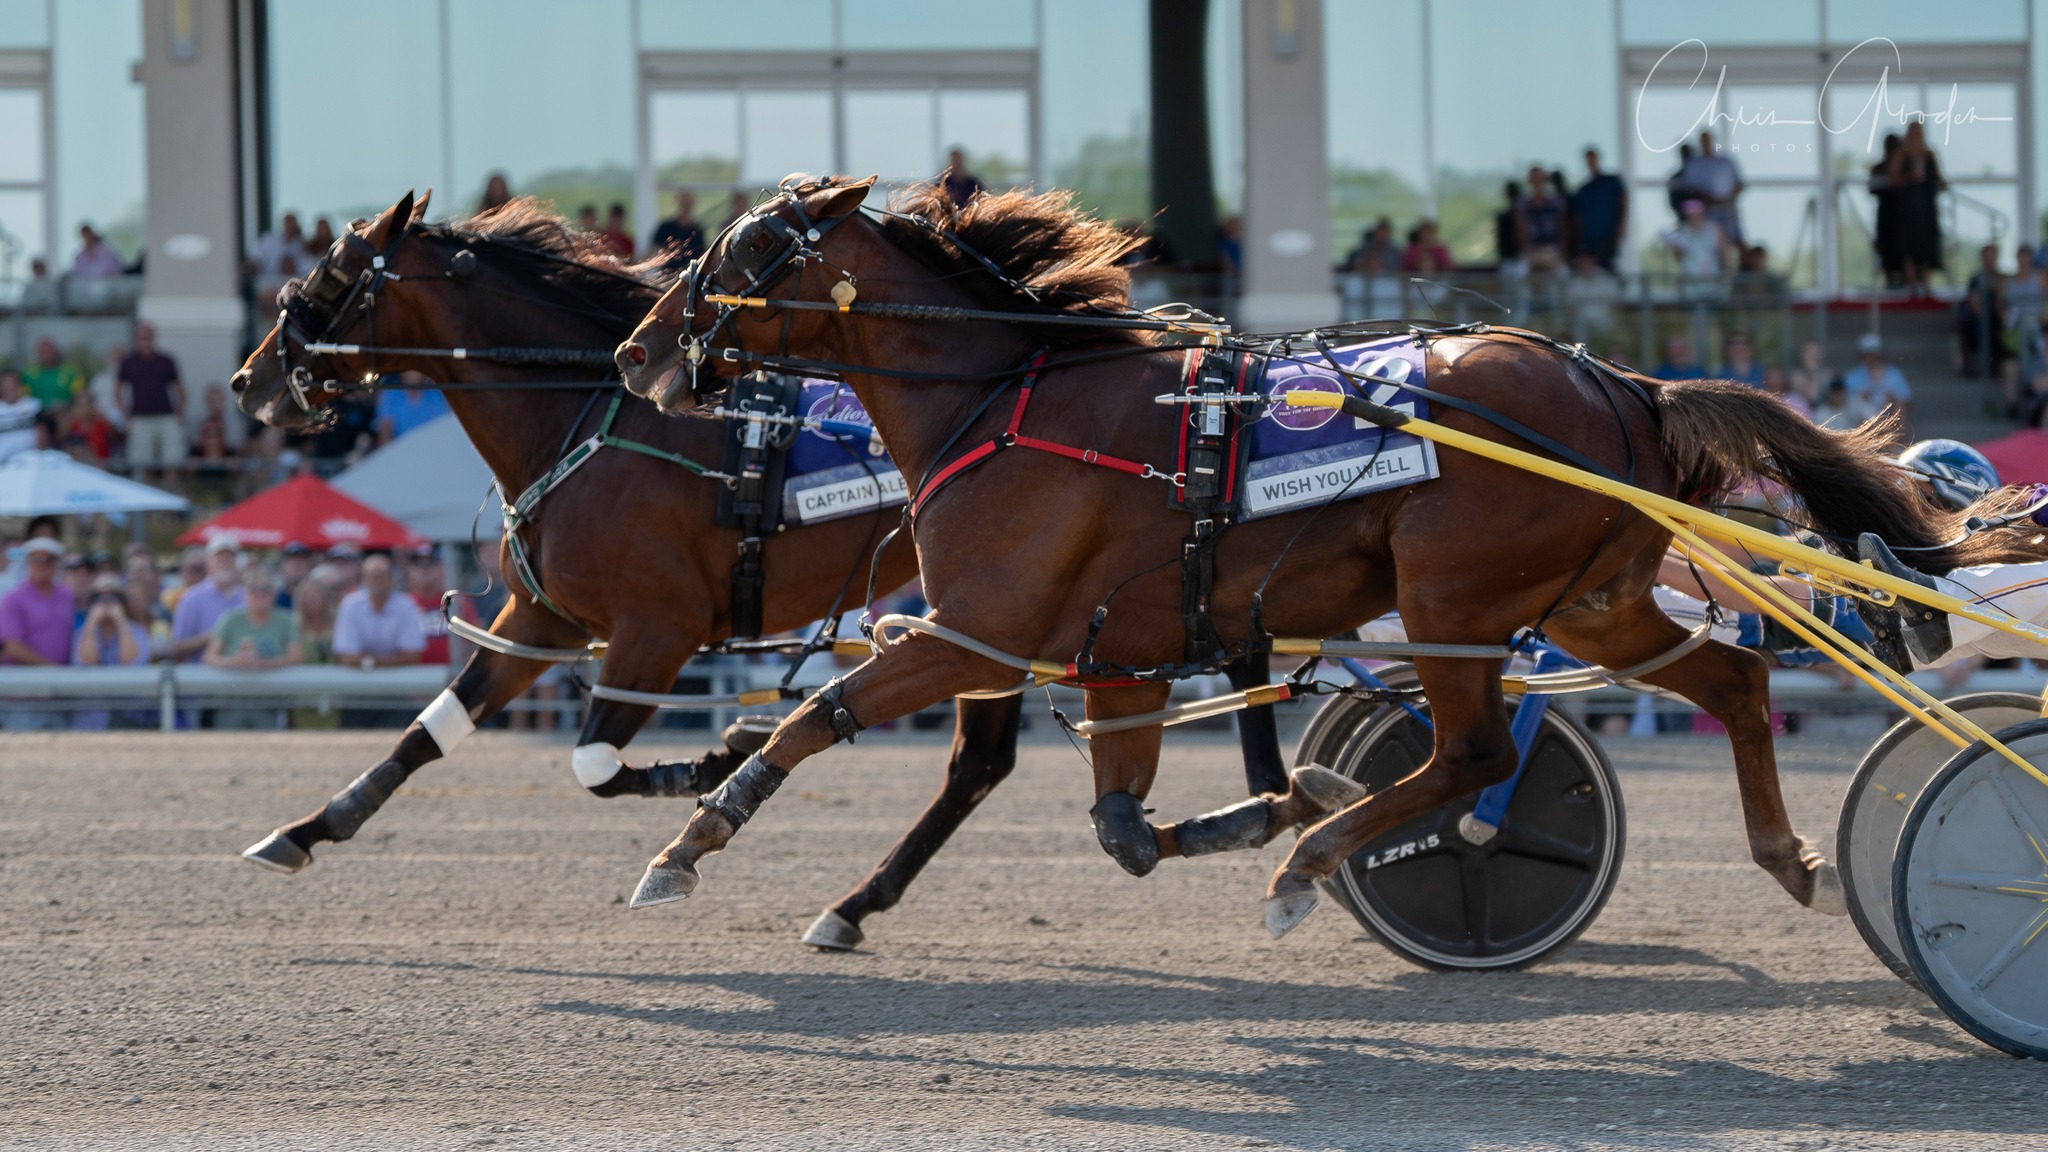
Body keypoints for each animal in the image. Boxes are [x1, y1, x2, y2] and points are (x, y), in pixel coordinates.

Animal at [226, 190, 1067, 950]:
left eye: (330, 277)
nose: (247, 381)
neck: (592, 422)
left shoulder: (659, 631)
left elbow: (594, 763)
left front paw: (721, 755)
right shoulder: (542, 620)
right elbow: (427, 733)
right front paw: (306, 829)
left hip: (976, 614)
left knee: (974, 763)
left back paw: (852, 901)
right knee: (979, 764)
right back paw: (855, 905)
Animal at [611, 176, 2048, 936]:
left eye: (744, 245)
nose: (633, 349)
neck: (1013, 391)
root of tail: (1627, 386)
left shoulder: (975, 630)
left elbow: (820, 720)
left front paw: (690, 838)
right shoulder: (1119, 651)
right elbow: (1121, 818)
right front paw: (1248, 806)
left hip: (1455, 596)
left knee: (1470, 755)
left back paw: (1315, 864)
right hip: (1590, 599)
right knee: (1735, 685)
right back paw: (1787, 854)